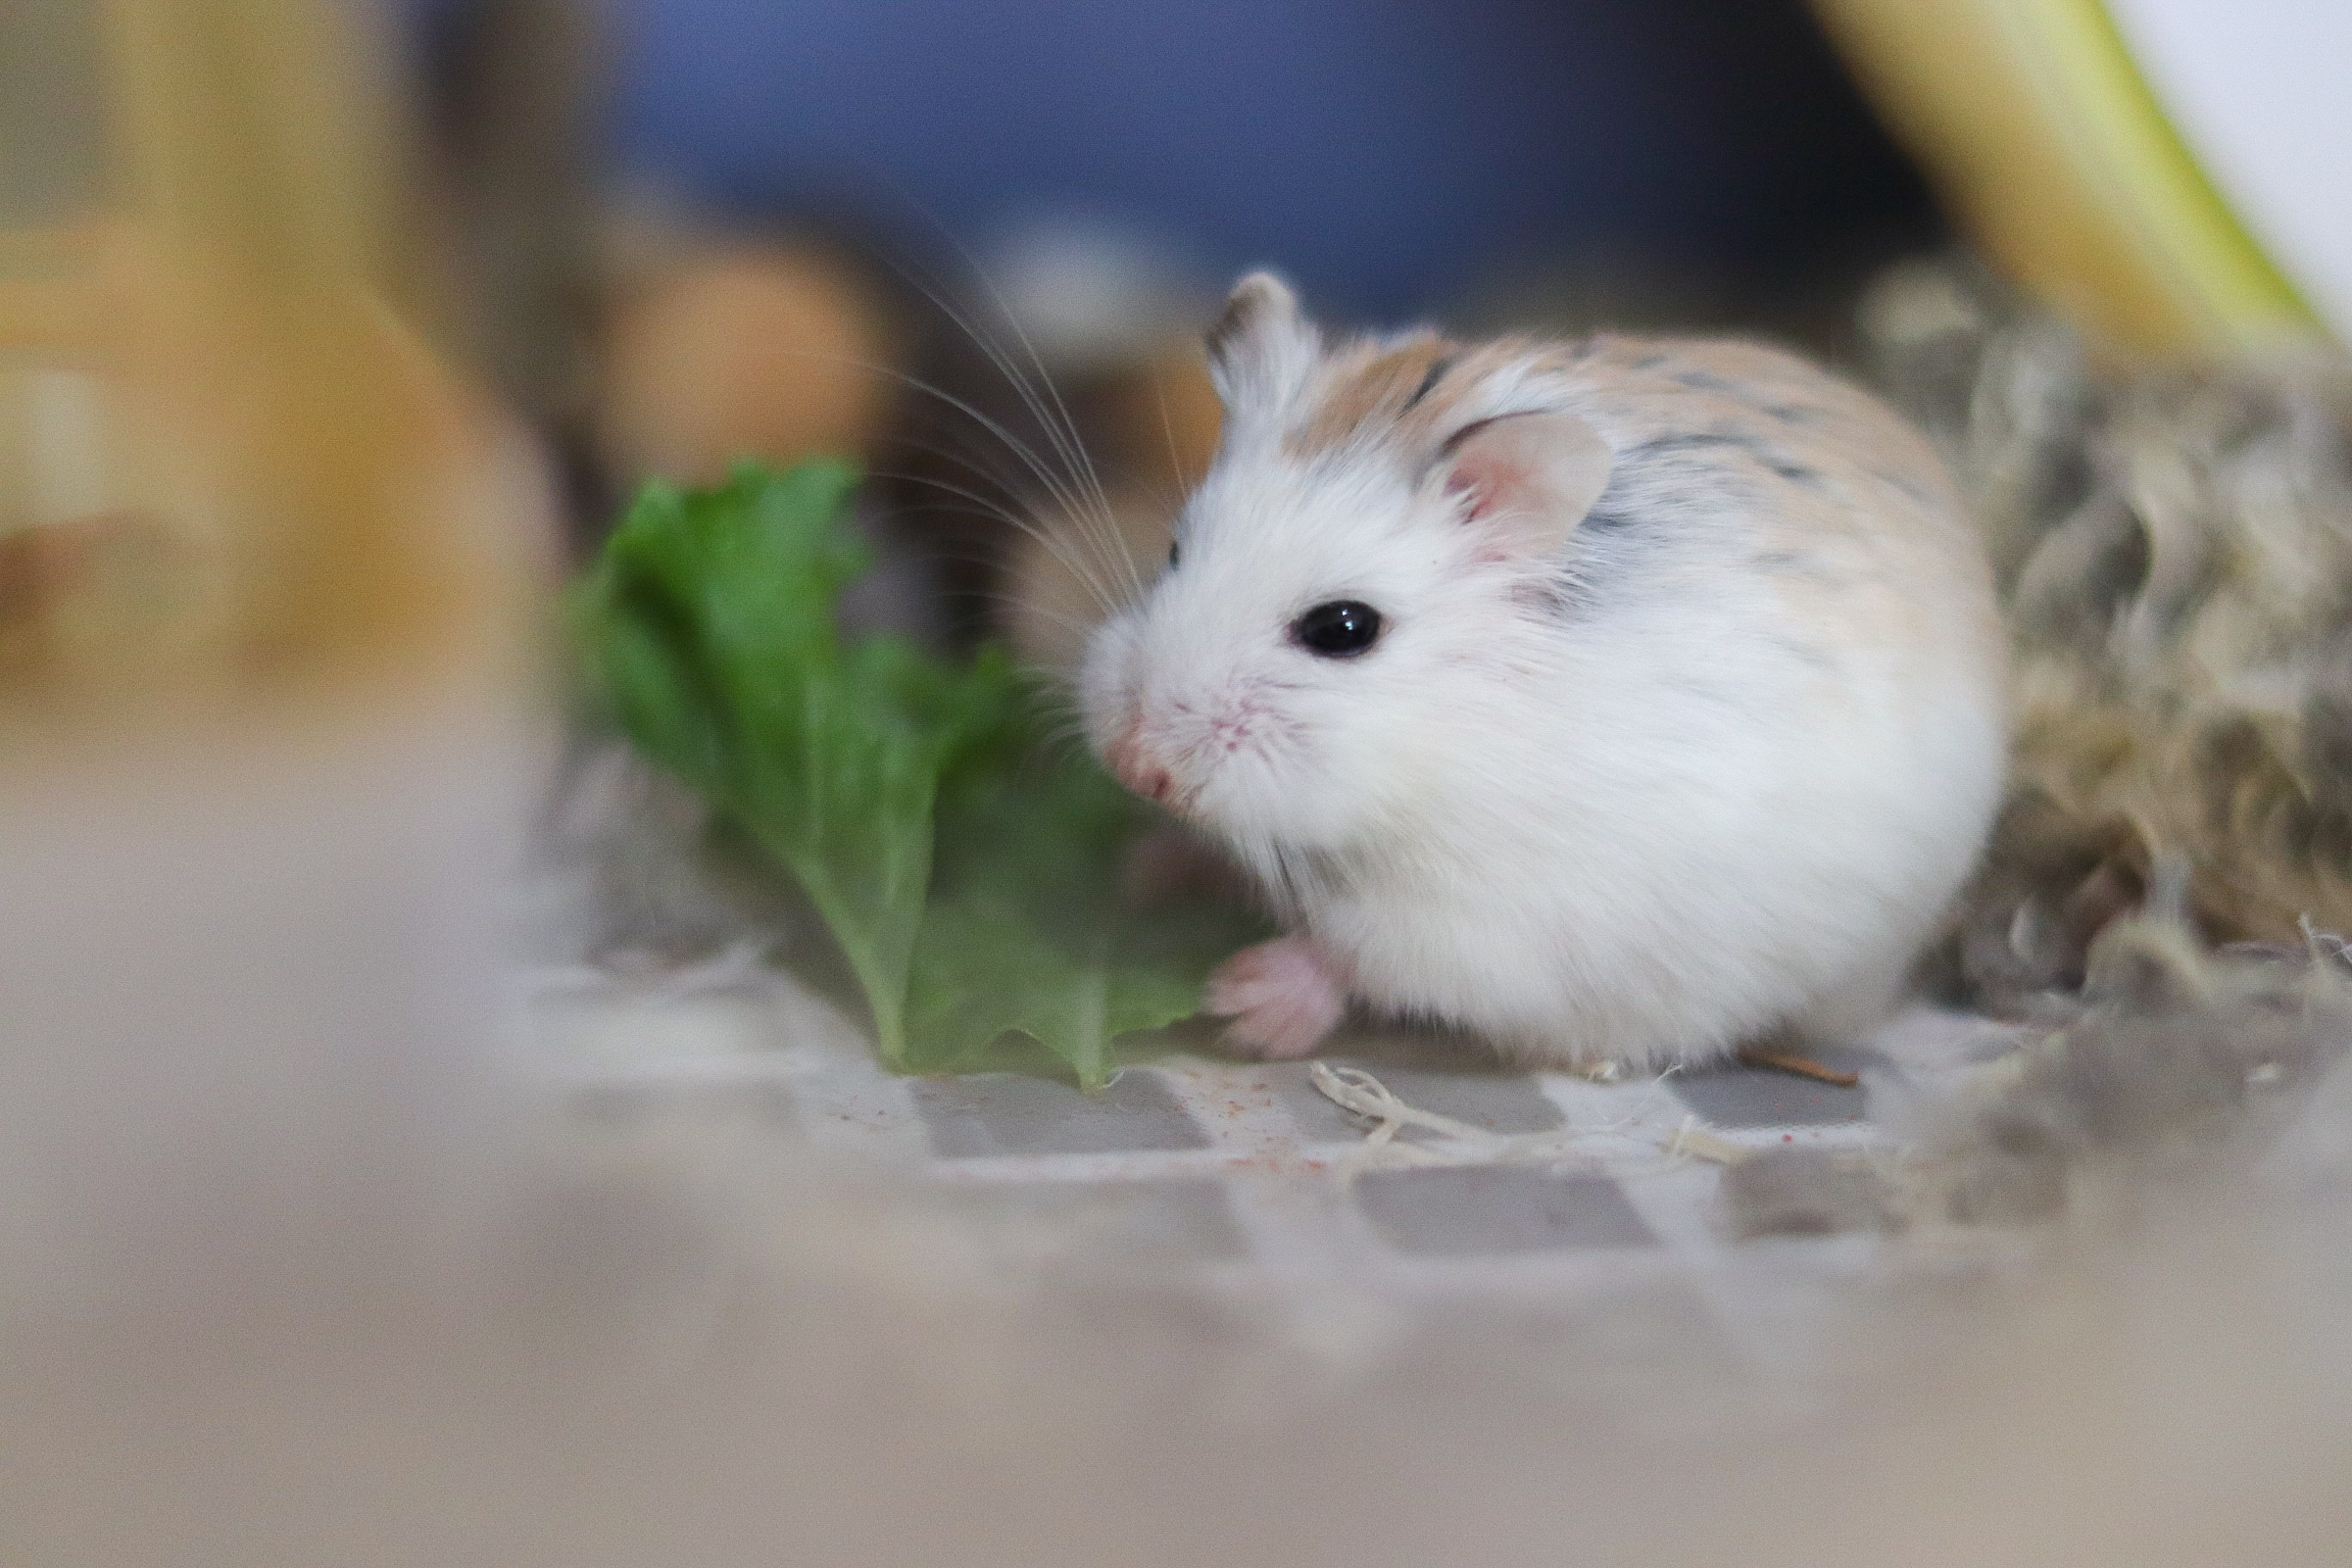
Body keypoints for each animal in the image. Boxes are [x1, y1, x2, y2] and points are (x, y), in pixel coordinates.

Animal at [1078, 273, 2007, 1071]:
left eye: (1343, 630)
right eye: (1173, 551)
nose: (1132, 764)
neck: (1435, 751)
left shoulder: (1484, 923)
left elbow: (1361, 958)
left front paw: (1237, 1002)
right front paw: (1138, 874)